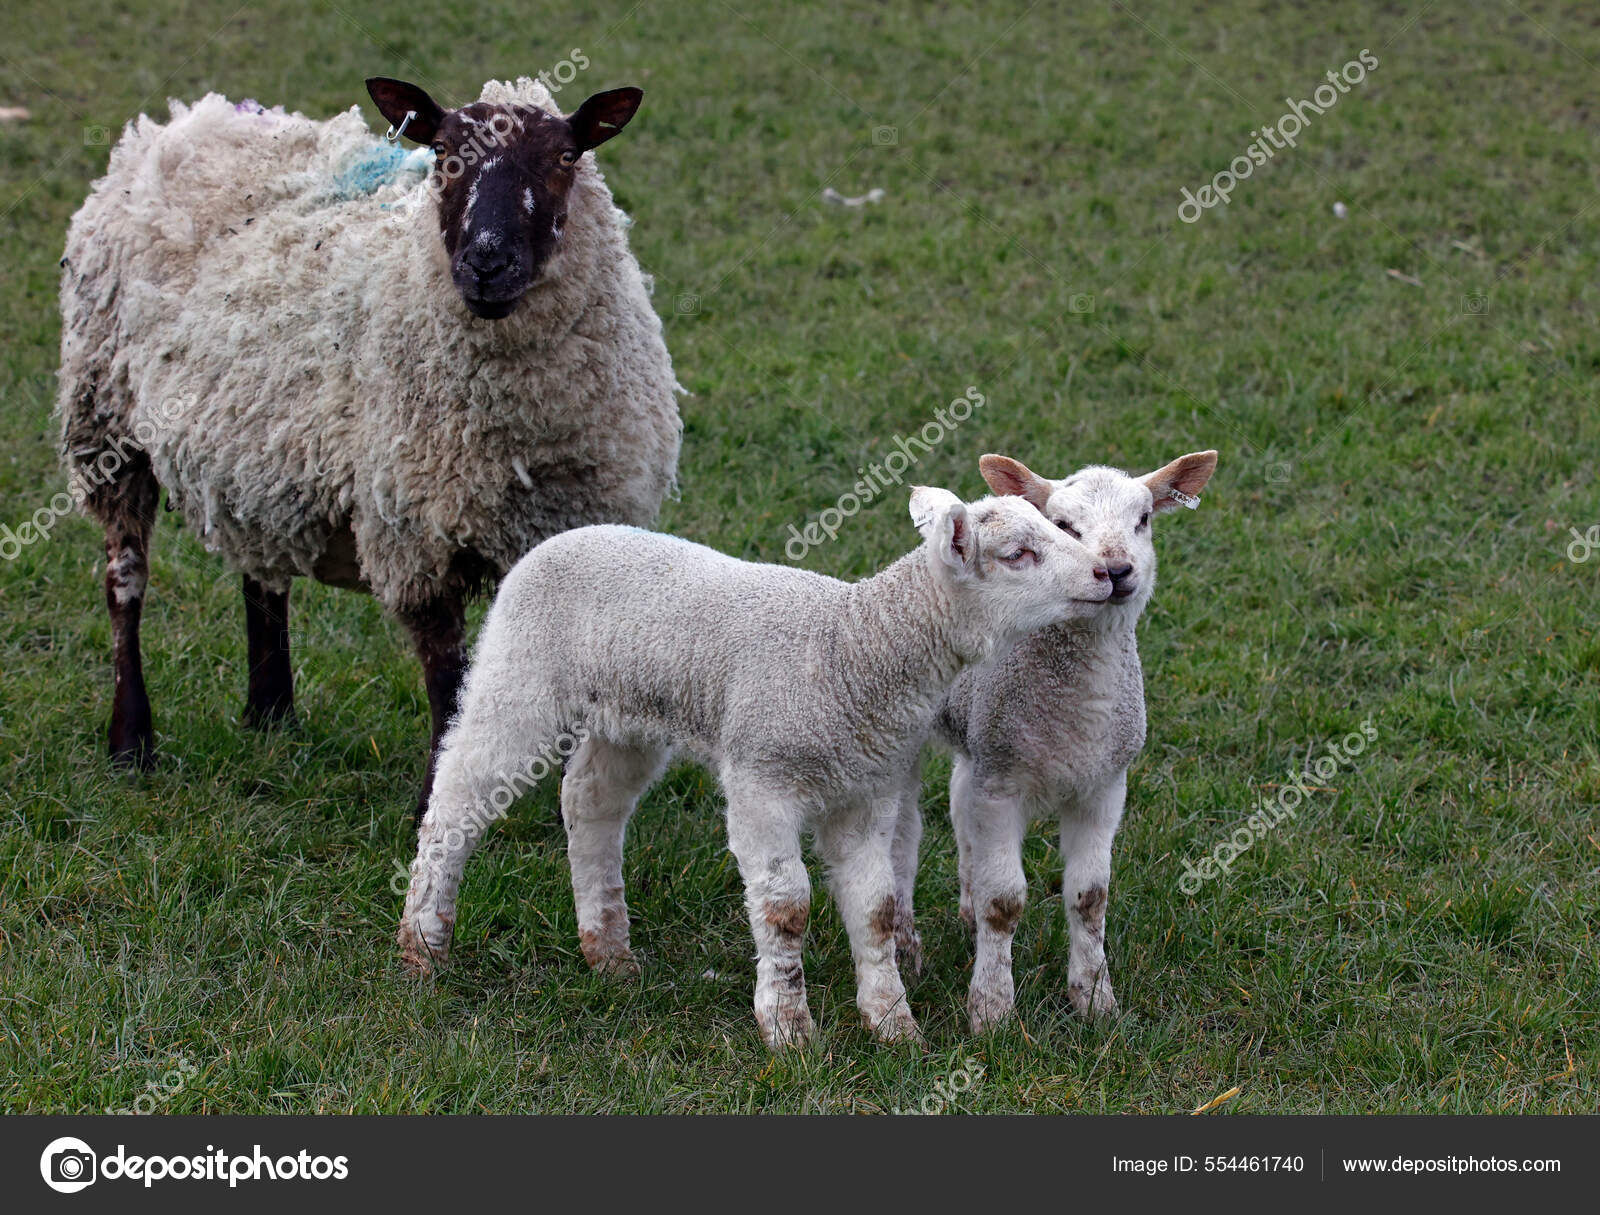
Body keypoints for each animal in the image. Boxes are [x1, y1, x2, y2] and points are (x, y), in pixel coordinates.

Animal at [55, 75, 681, 820]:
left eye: (566, 156)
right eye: (441, 152)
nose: (486, 262)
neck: (524, 439)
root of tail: (184, 121)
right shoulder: (415, 536)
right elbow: (447, 678)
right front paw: (434, 803)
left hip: (261, 452)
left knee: (262, 574)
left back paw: (271, 713)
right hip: (106, 426)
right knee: (125, 582)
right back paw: (132, 741)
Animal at [397, 488, 1115, 1050]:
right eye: (1019, 553)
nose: (1107, 573)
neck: (855, 649)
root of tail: (558, 541)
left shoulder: (866, 793)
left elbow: (878, 909)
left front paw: (892, 1025)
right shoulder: (761, 780)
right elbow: (785, 907)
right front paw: (790, 1029)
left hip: (626, 717)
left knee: (590, 803)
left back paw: (609, 952)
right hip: (519, 674)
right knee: (457, 800)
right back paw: (423, 945)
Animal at [901, 450, 1218, 1032]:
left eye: (1144, 520)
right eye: (1064, 526)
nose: (1116, 571)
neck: (1076, 715)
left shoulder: (1105, 785)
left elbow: (1090, 898)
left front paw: (1094, 999)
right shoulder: (1001, 785)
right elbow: (1004, 902)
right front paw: (991, 1011)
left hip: (978, 746)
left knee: (959, 810)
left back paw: (966, 908)